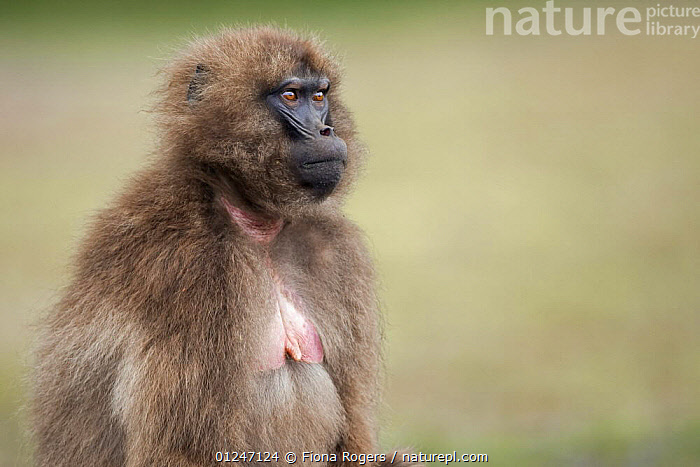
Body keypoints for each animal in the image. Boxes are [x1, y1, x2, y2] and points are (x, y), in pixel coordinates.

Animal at [31, 26, 422, 467]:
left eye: (320, 96)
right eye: (290, 96)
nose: (327, 132)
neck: (253, 222)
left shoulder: (335, 251)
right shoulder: (185, 267)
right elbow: (178, 452)